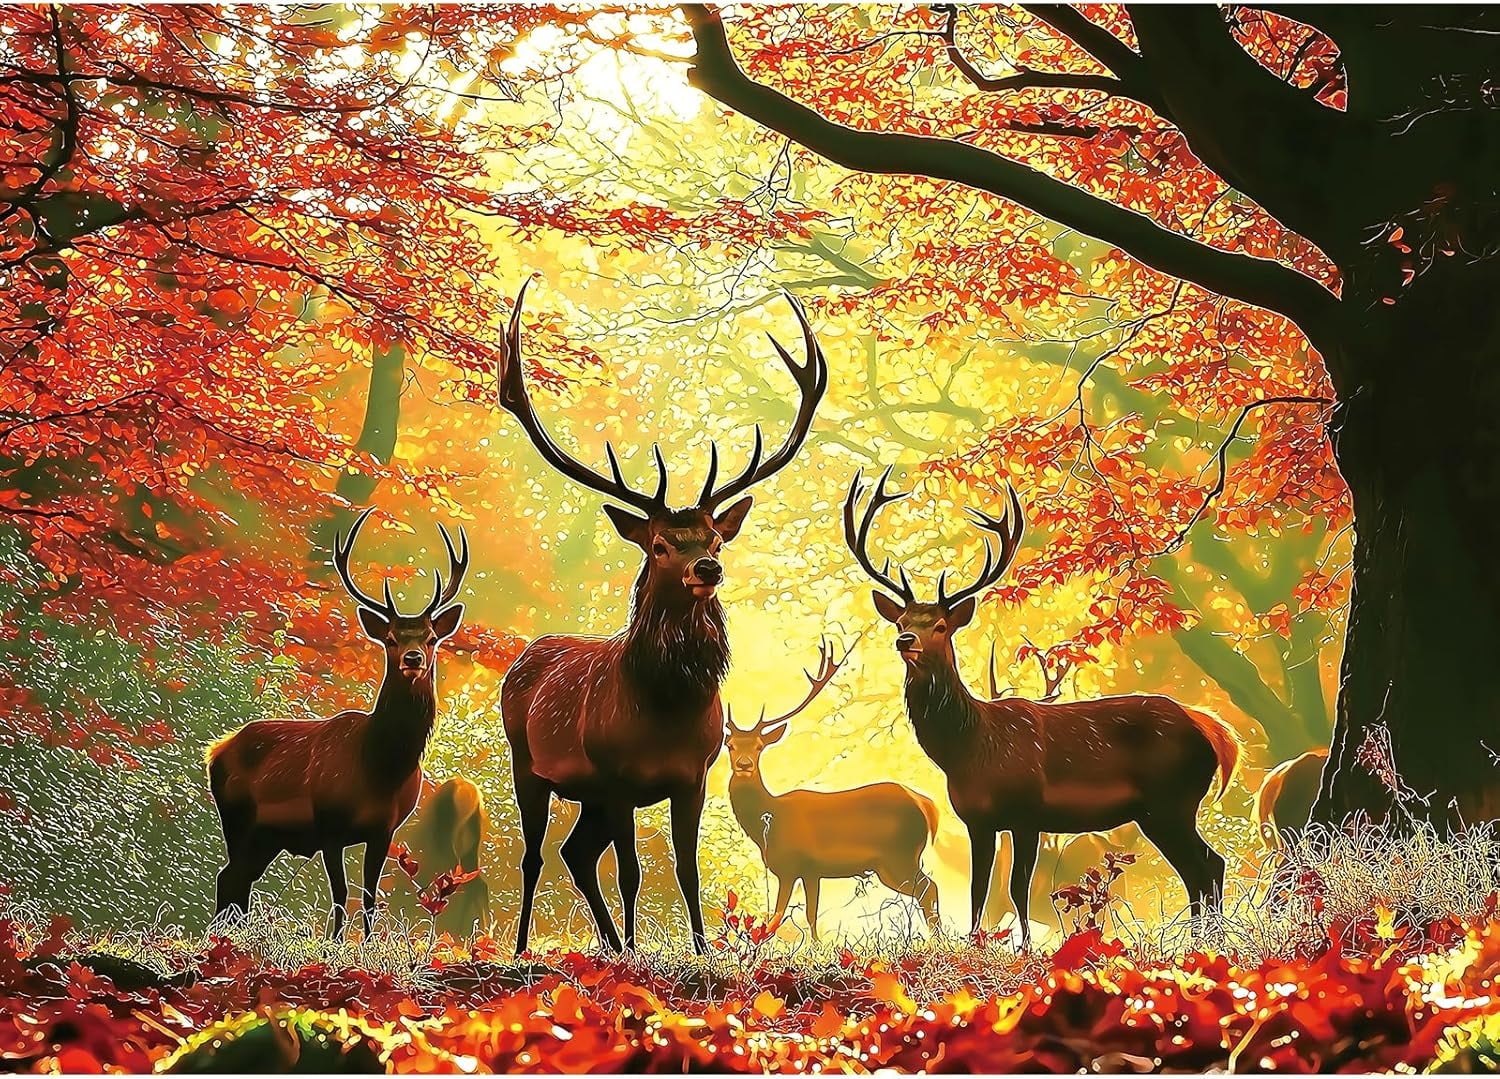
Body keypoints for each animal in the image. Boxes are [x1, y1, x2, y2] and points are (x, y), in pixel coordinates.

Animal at [206, 508, 468, 937]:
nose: (413, 659)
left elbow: (370, 895)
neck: (379, 768)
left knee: (237, 878)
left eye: (431, 637)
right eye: (391, 639)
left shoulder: (384, 830)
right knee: (230, 876)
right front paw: (335, 944)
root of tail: (215, 750)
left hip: (266, 834)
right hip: (237, 816)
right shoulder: (329, 823)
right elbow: (341, 893)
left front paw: (365, 945)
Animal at [496, 280, 828, 955]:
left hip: (587, 795)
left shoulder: (692, 776)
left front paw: (700, 951)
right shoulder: (616, 777)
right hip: (529, 764)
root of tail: (525, 656)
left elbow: (685, 866)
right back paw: (525, 947)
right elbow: (631, 869)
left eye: (716, 538)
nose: (708, 569)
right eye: (658, 545)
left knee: (575, 853)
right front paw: (638, 955)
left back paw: (610, 943)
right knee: (537, 855)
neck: (665, 708)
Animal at [724, 638, 941, 941]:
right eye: (730, 746)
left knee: (929, 888)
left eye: (758, 746)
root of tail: (927, 805)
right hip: (891, 864)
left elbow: (778, 918)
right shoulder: (812, 871)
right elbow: (810, 914)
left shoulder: (793, 865)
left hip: (900, 856)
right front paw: (816, 945)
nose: (744, 765)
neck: (770, 821)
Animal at [842, 468, 1240, 947]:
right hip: (1161, 809)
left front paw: (1026, 948)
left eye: (938, 625)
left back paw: (1207, 942)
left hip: (1171, 799)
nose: (905, 641)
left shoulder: (1028, 810)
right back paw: (1201, 940)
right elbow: (978, 888)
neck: (970, 749)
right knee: (1199, 868)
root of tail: (1216, 733)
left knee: (1207, 864)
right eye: (902, 621)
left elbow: (1018, 886)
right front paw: (975, 943)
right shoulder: (976, 819)